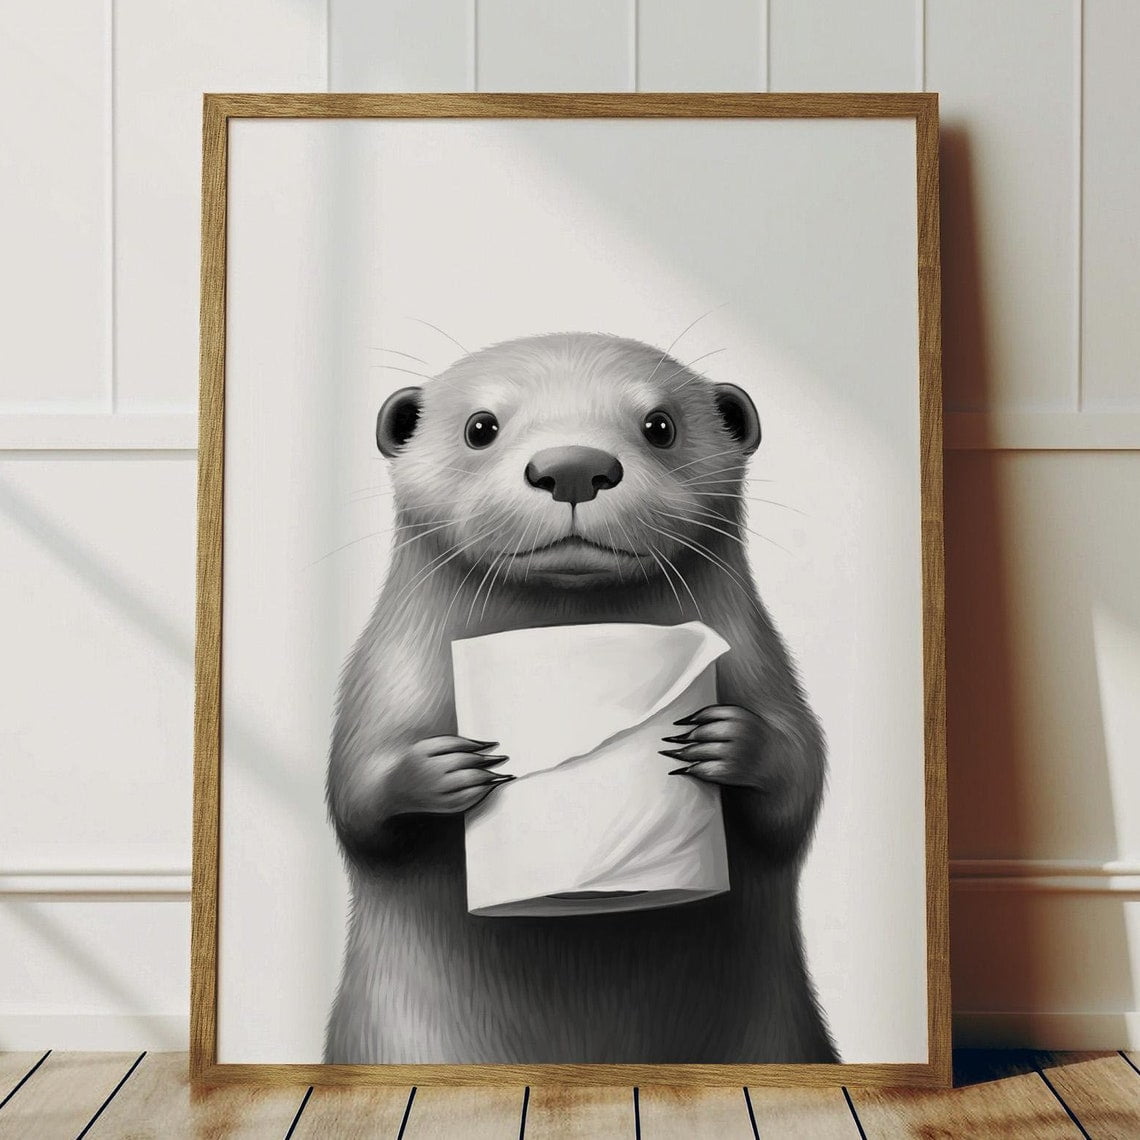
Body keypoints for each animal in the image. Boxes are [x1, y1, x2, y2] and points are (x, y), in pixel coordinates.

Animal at [325, 332, 836, 1064]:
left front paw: (728, 741)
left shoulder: (766, 667)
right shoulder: (380, 684)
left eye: (660, 425)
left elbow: (798, 783)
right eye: (481, 427)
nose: (573, 466)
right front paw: (446, 769)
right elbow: (357, 803)